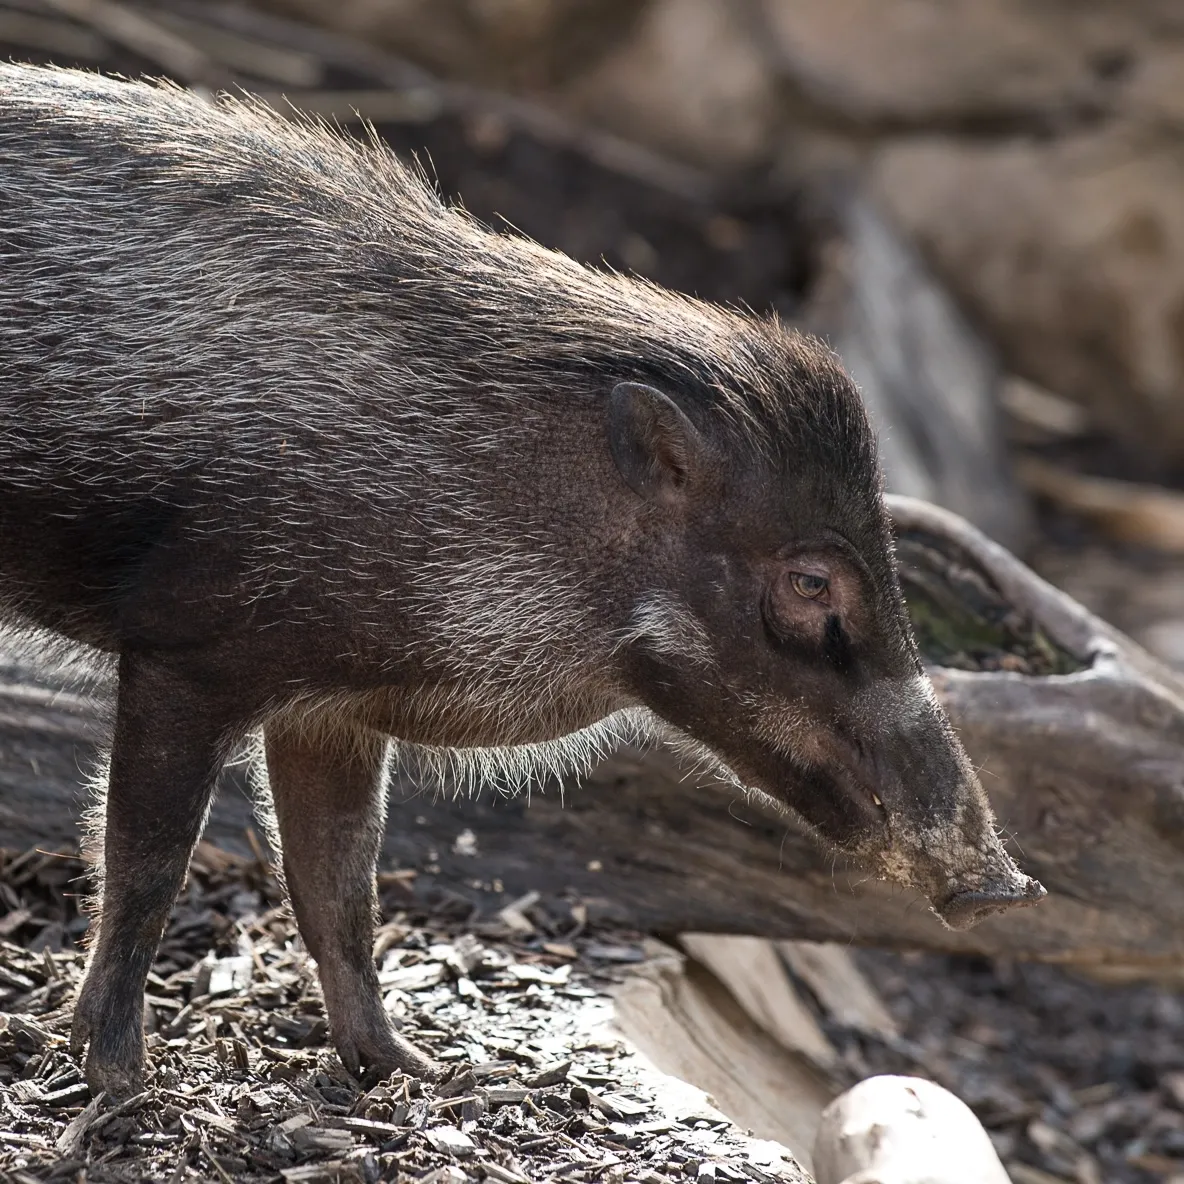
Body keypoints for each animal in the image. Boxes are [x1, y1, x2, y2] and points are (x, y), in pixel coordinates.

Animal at [0, 64, 1044, 1096]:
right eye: (812, 583)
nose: (1005, 888)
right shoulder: (186, 649)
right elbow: (147, 860)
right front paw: (116, 1077)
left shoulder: (329, 712)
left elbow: (340, 884)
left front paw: (412, 1071)